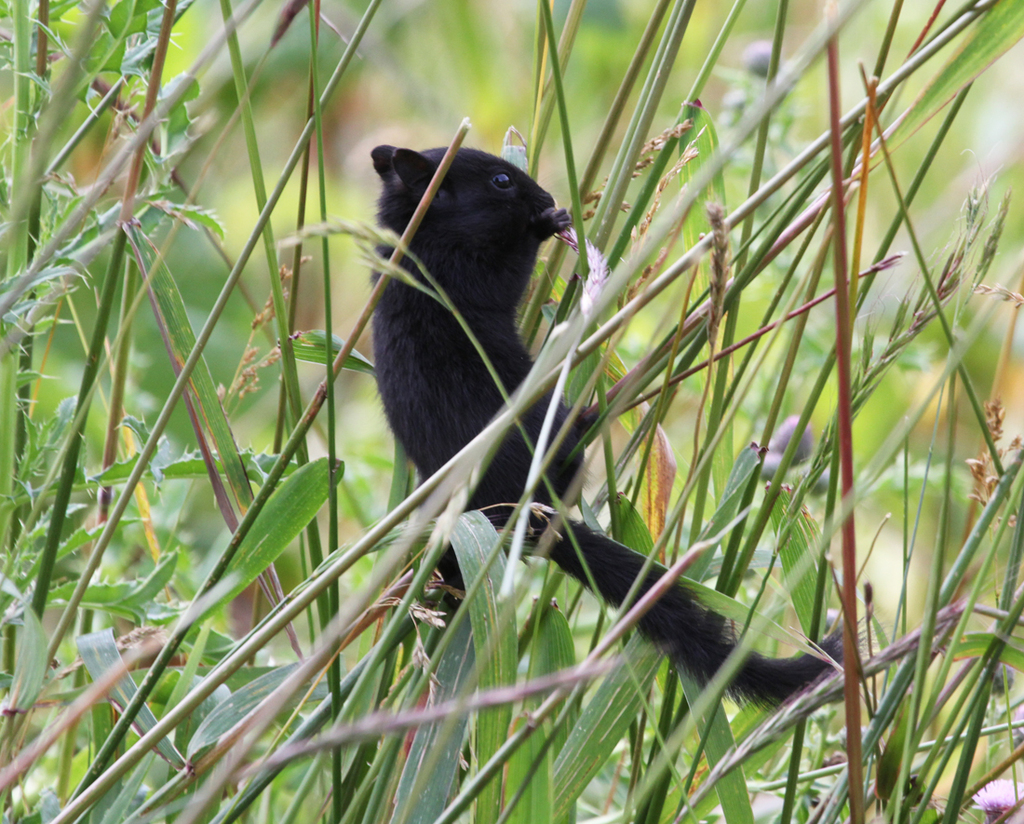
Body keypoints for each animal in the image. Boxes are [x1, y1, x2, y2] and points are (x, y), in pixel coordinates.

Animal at [369, 144, 840, 705]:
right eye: (502, 180)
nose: (548, 195)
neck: (414, 243)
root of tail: (509, 513)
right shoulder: (467, 272)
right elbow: (510, 273)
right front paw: (549, 223)